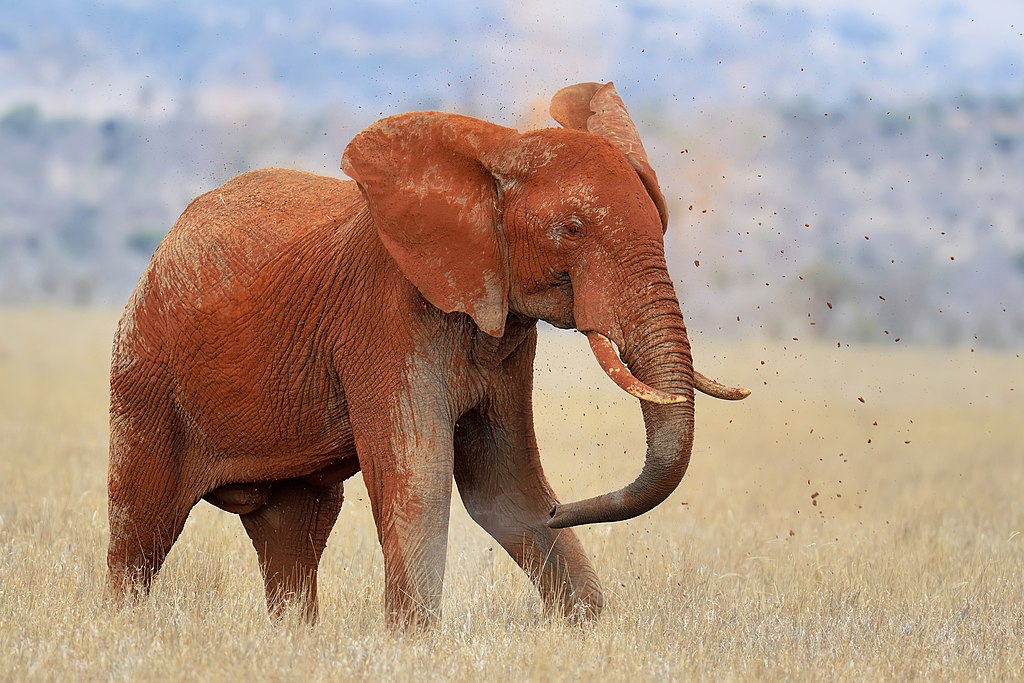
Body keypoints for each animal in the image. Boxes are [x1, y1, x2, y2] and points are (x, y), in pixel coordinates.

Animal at [106, 81, 749, 628]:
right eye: (570, 230)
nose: (562, 510)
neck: (497, 151)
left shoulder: (503, 325)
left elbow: (505, 488)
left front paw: (587, 630)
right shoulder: (387, 318)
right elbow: (420, 477)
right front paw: (412, 641)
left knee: (295, 530)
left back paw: (294, 637)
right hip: (145, 369)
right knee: (142, 524)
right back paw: (123, 627)